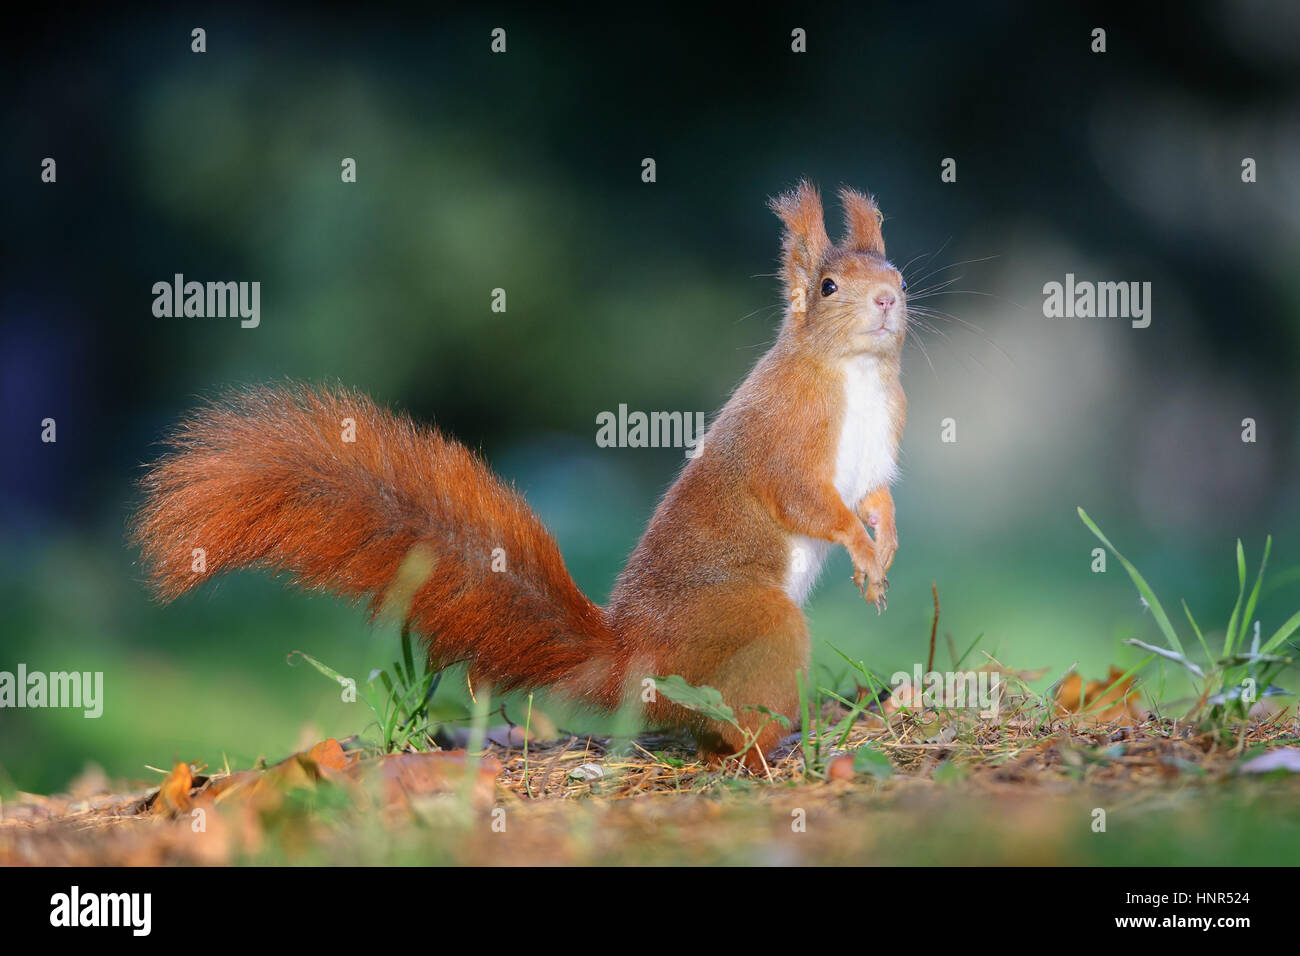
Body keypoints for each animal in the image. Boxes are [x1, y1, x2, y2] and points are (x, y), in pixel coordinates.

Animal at [130, 181, 908, 771]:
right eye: (829, 285)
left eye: (896, 273)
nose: (889, 300)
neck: (854, 373)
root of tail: (630, 662)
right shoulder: (786, 442)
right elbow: (808, 502)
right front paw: (860, 548)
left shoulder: (876, 451)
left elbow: (874, 498)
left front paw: (884, 549)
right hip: (757, 627)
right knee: (730, 731)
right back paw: (774, 749)